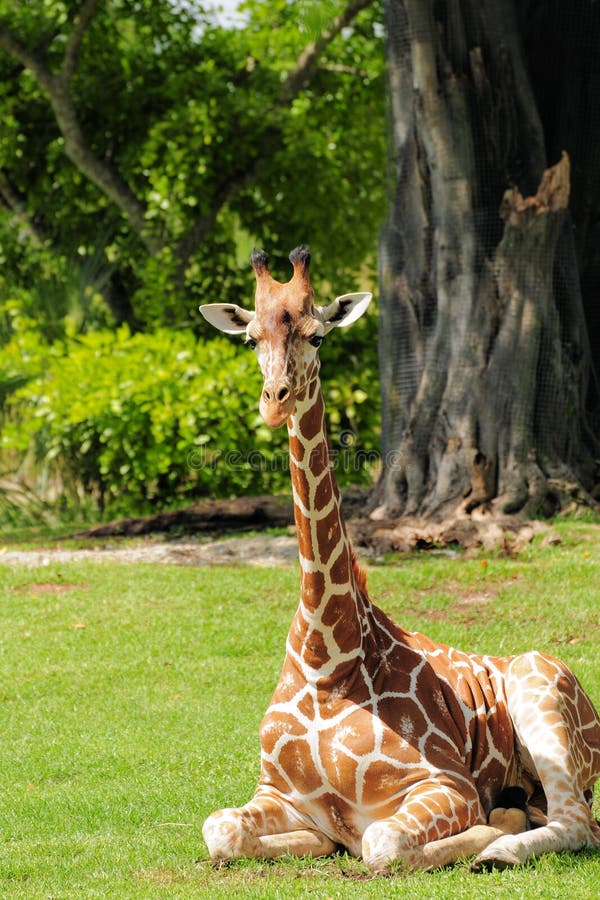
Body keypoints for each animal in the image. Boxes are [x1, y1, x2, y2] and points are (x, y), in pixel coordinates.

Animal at [199, 247, 600, 873]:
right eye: (250, 338)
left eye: (317, 335)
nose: (275, 401)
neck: (326, 657)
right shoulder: (278, 794)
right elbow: (220, 830)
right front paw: (308, 842)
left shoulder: (448, 783)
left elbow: (381, 842)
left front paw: (485, 831)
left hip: (541, 690)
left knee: (579, 823)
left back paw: (499, 846)